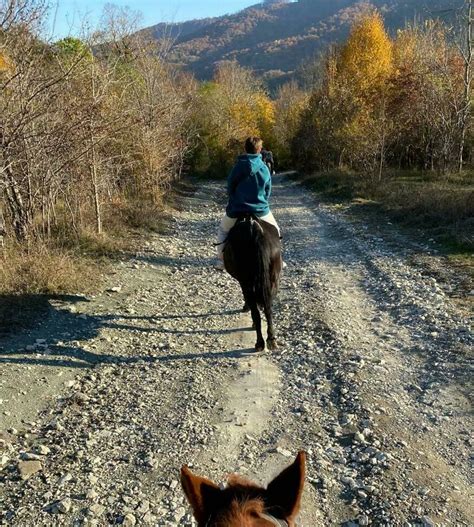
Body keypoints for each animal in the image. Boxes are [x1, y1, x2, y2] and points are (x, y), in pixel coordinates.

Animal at [223, 214, 282, 350]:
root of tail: (254, 230)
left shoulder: (243, 282)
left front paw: (246, 307)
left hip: (247, 281)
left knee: (256, 310)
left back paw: (259, 342)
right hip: (273, 278)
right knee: (268, 308)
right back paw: (271, 339)